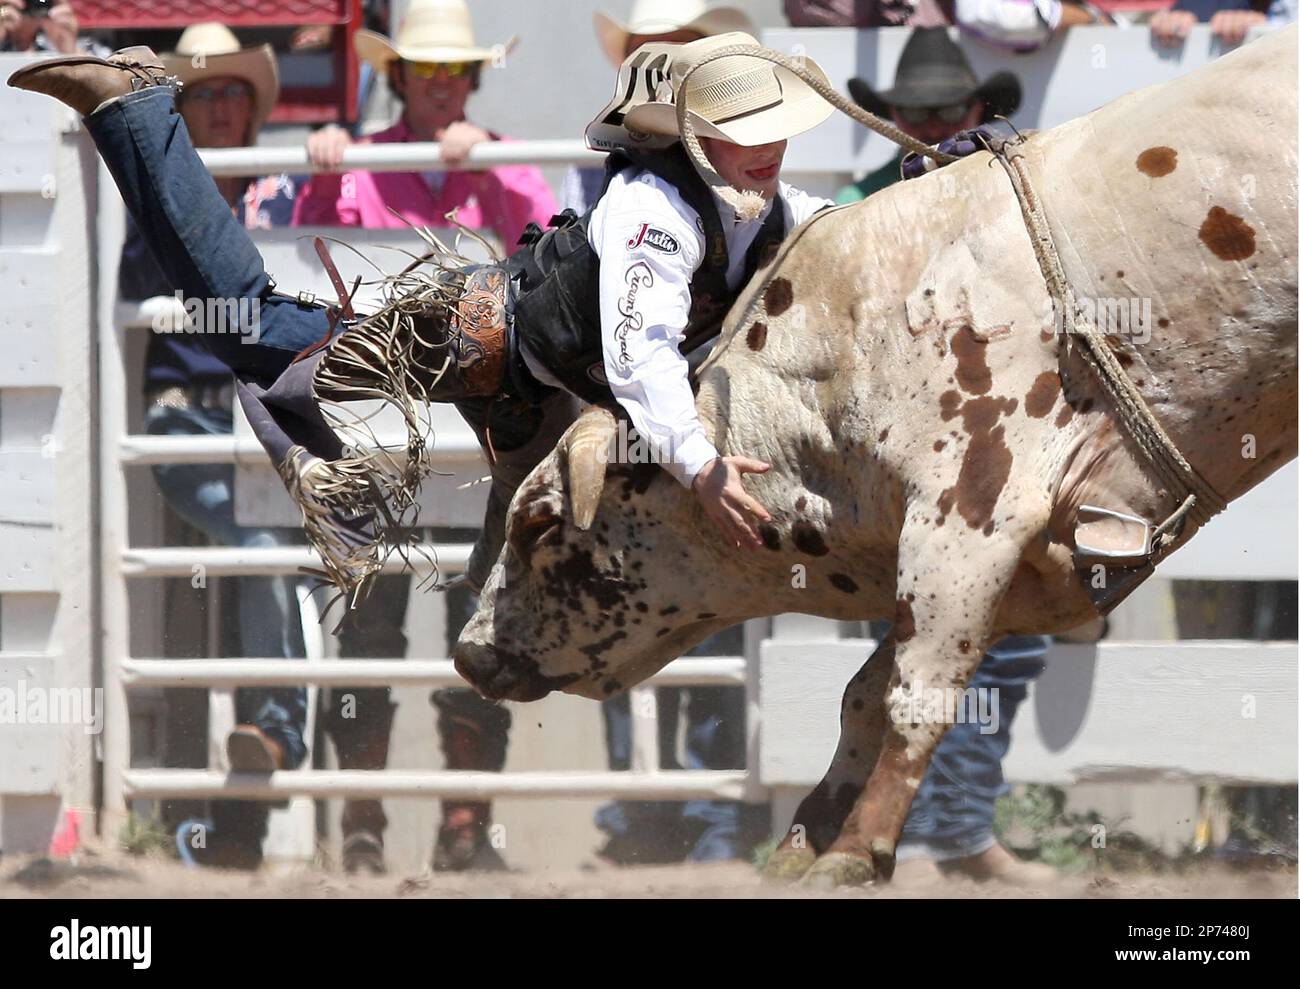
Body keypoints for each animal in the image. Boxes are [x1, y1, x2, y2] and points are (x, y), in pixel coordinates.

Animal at [452, 26, 1298, 886]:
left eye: (539, 521)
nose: (469, 655)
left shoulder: (967, 518)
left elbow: (914, 696)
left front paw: (855, 849)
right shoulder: (1018, 564)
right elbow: (864, 692)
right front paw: (801, 840)